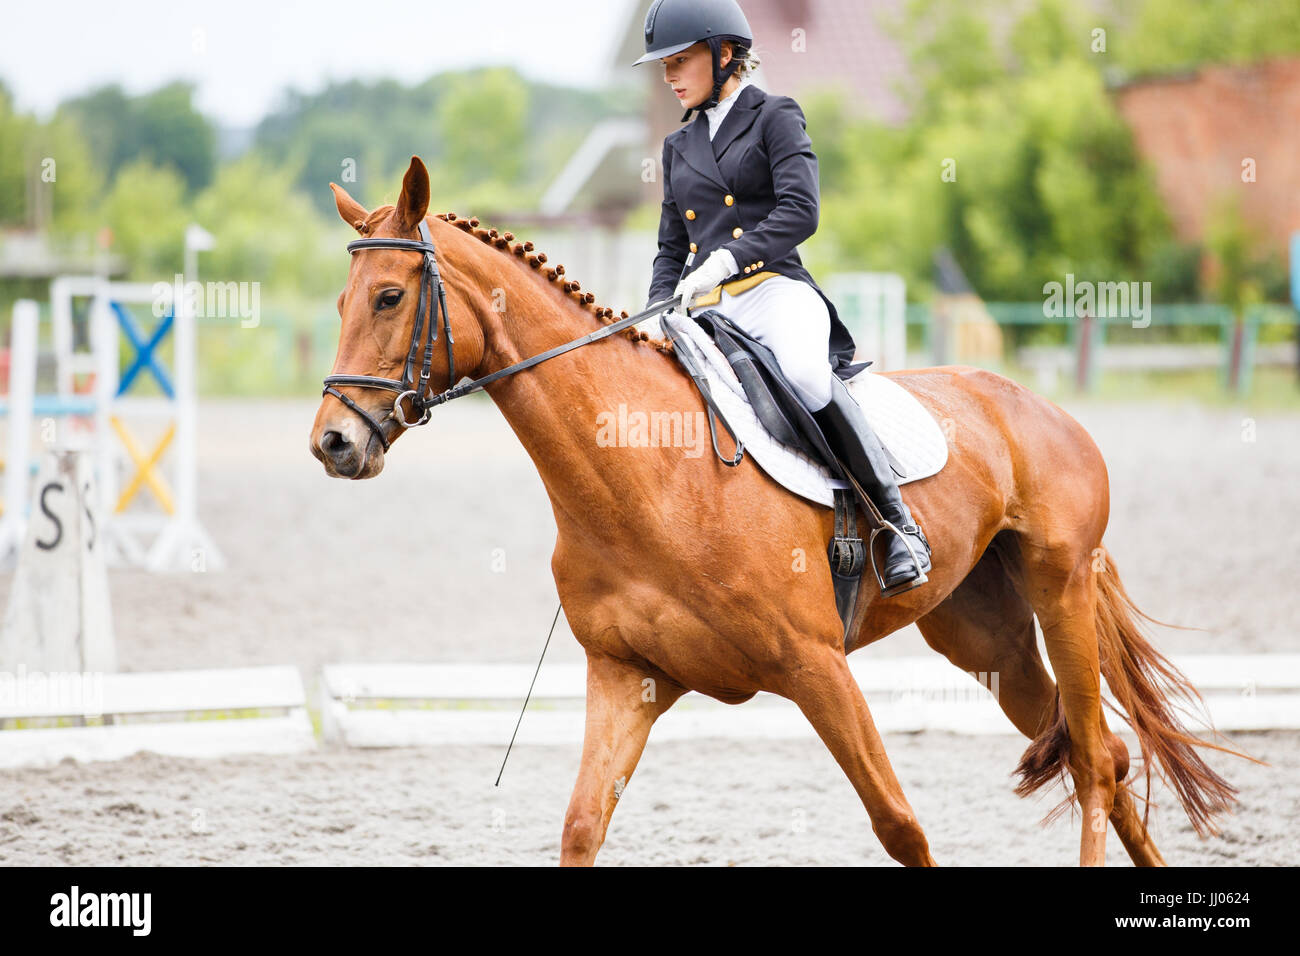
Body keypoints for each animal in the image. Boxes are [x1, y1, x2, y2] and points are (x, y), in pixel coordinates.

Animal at [310, 157, 1254, 866]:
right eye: (341, 302)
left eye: (390, 298)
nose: (333, 443)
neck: (641, 474)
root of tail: (1035, 405)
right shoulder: (625, 676)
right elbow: (581, 830)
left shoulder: (816, 667)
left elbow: (900, 825)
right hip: (984, 637)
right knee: (1109, 756)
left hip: (1061, 591)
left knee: (1095, 760)